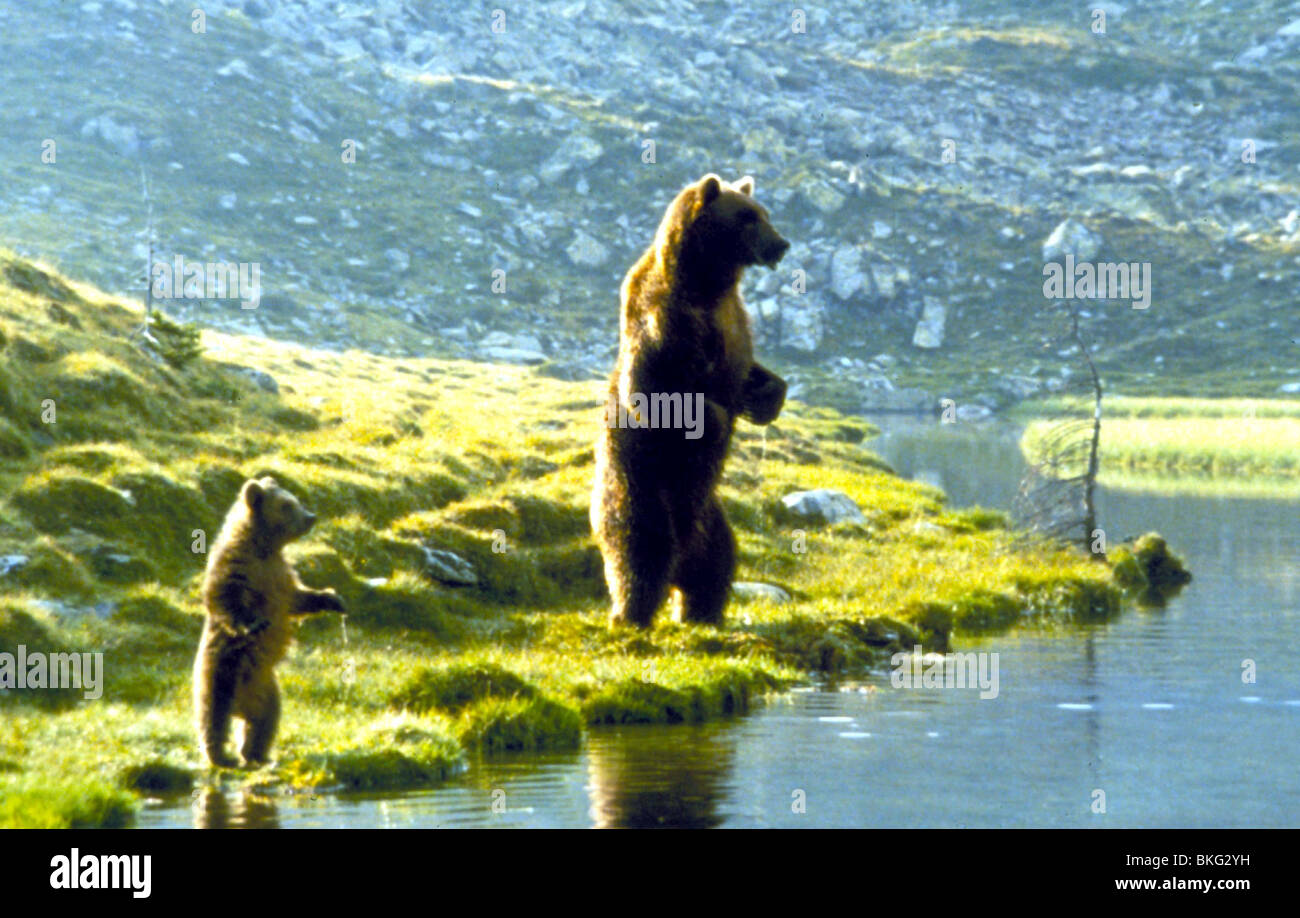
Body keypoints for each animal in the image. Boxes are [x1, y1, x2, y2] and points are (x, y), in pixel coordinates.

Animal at [193, 476, 345, 768]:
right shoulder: (237, 566)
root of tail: (241, 706)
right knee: (213, 717)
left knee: (264, 722)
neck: (263, 547)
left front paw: (332, 598)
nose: (311, 516)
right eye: (287, 505)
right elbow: (224, 597)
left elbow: (297, 599)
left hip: (267, 690)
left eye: (295, 499)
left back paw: (257, 754)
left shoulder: (280, 575)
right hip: (221, 672)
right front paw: (254, 624)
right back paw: (221, 756)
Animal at [591, 173, 789, 629]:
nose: (781, 244)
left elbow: (747, 372)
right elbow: (655, 393)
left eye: (765, 213)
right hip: (642, 488)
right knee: (640, 553)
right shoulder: (665, 319)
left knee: (717, 561)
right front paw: (712, 418)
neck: (708, 282)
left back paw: (702, 611)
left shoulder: (734, 319)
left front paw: (768, 395)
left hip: (709, 516)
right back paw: (631, 614)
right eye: (748, 217)